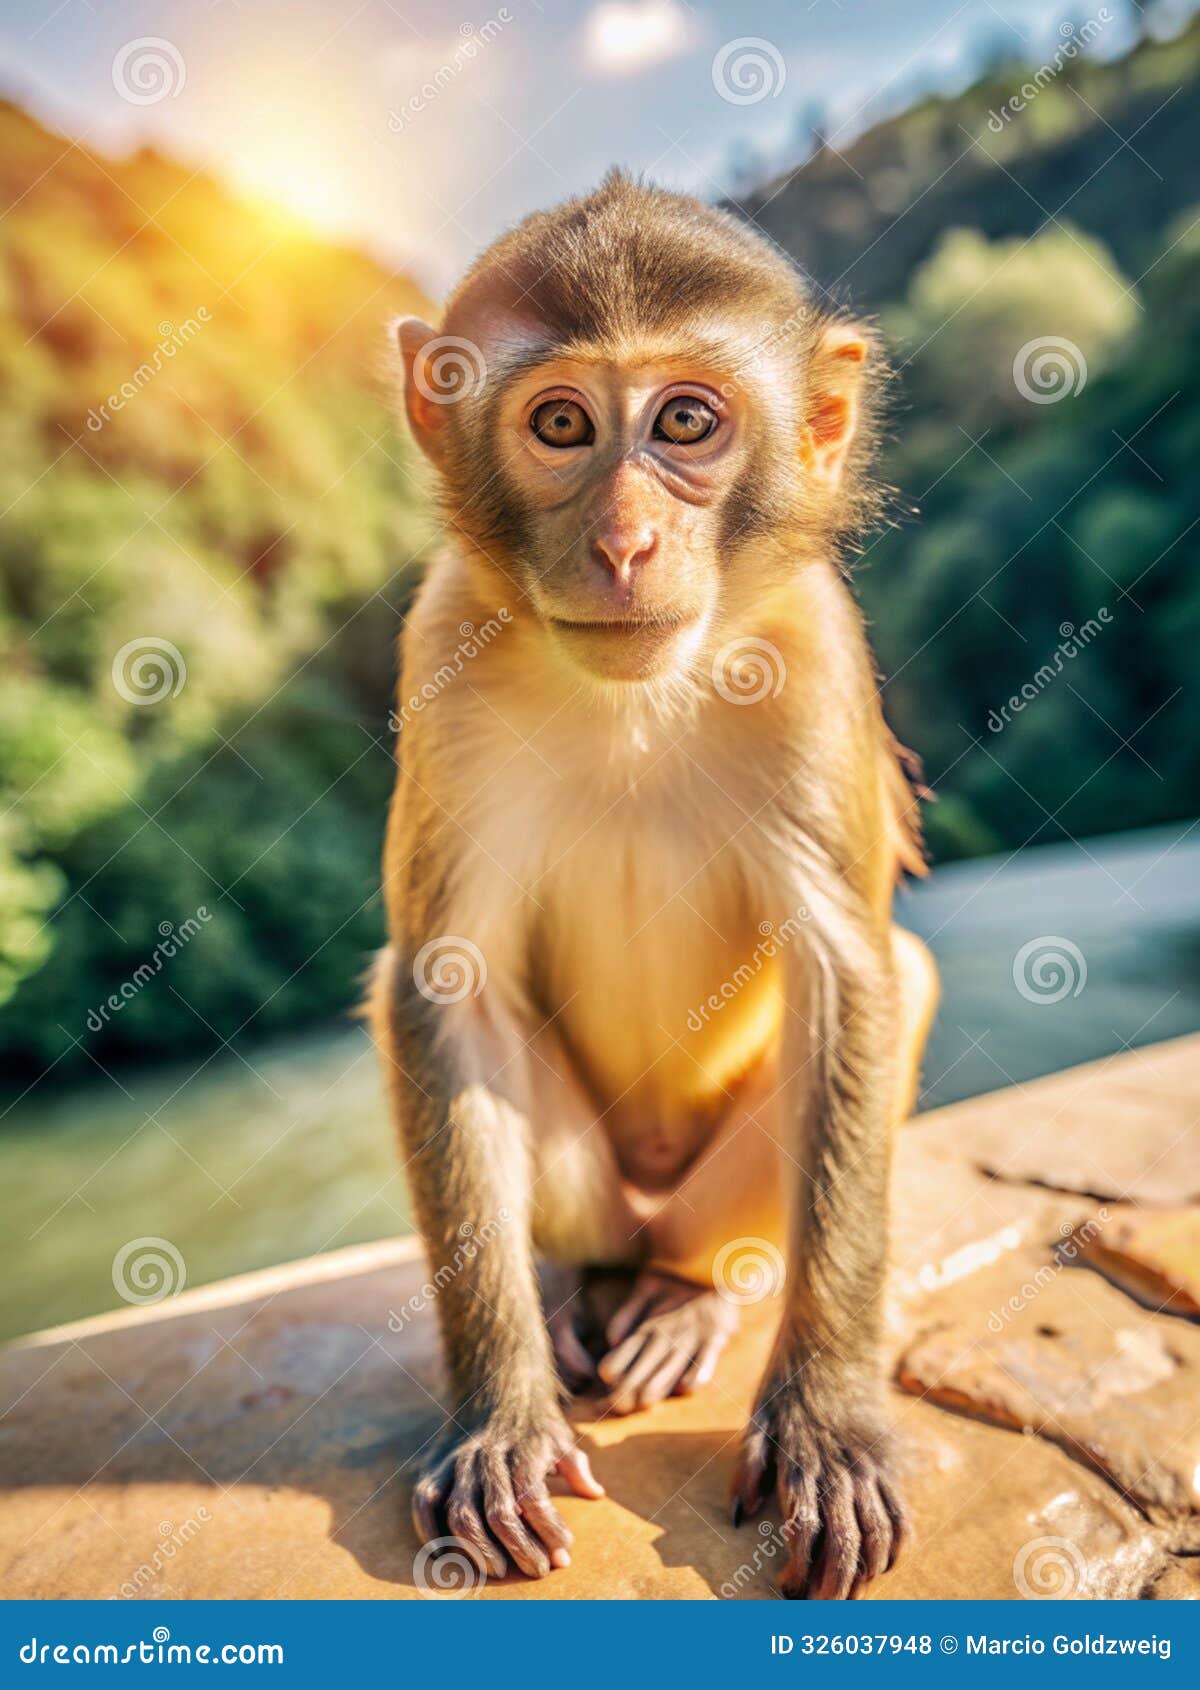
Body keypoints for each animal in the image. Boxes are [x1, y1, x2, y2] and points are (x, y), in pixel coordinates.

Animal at [369, 171, 939, 1601]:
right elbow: (440, 982)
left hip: (705, 1203)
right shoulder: (439, 644)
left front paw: (827, 1421)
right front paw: (498, 1417)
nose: (627, 539)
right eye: (562, 424)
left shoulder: (814, 650)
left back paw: (689, 1299)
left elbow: (850, 975)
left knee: (892, 984)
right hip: (597, 1186)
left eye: (686, 420)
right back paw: (579, 1293)